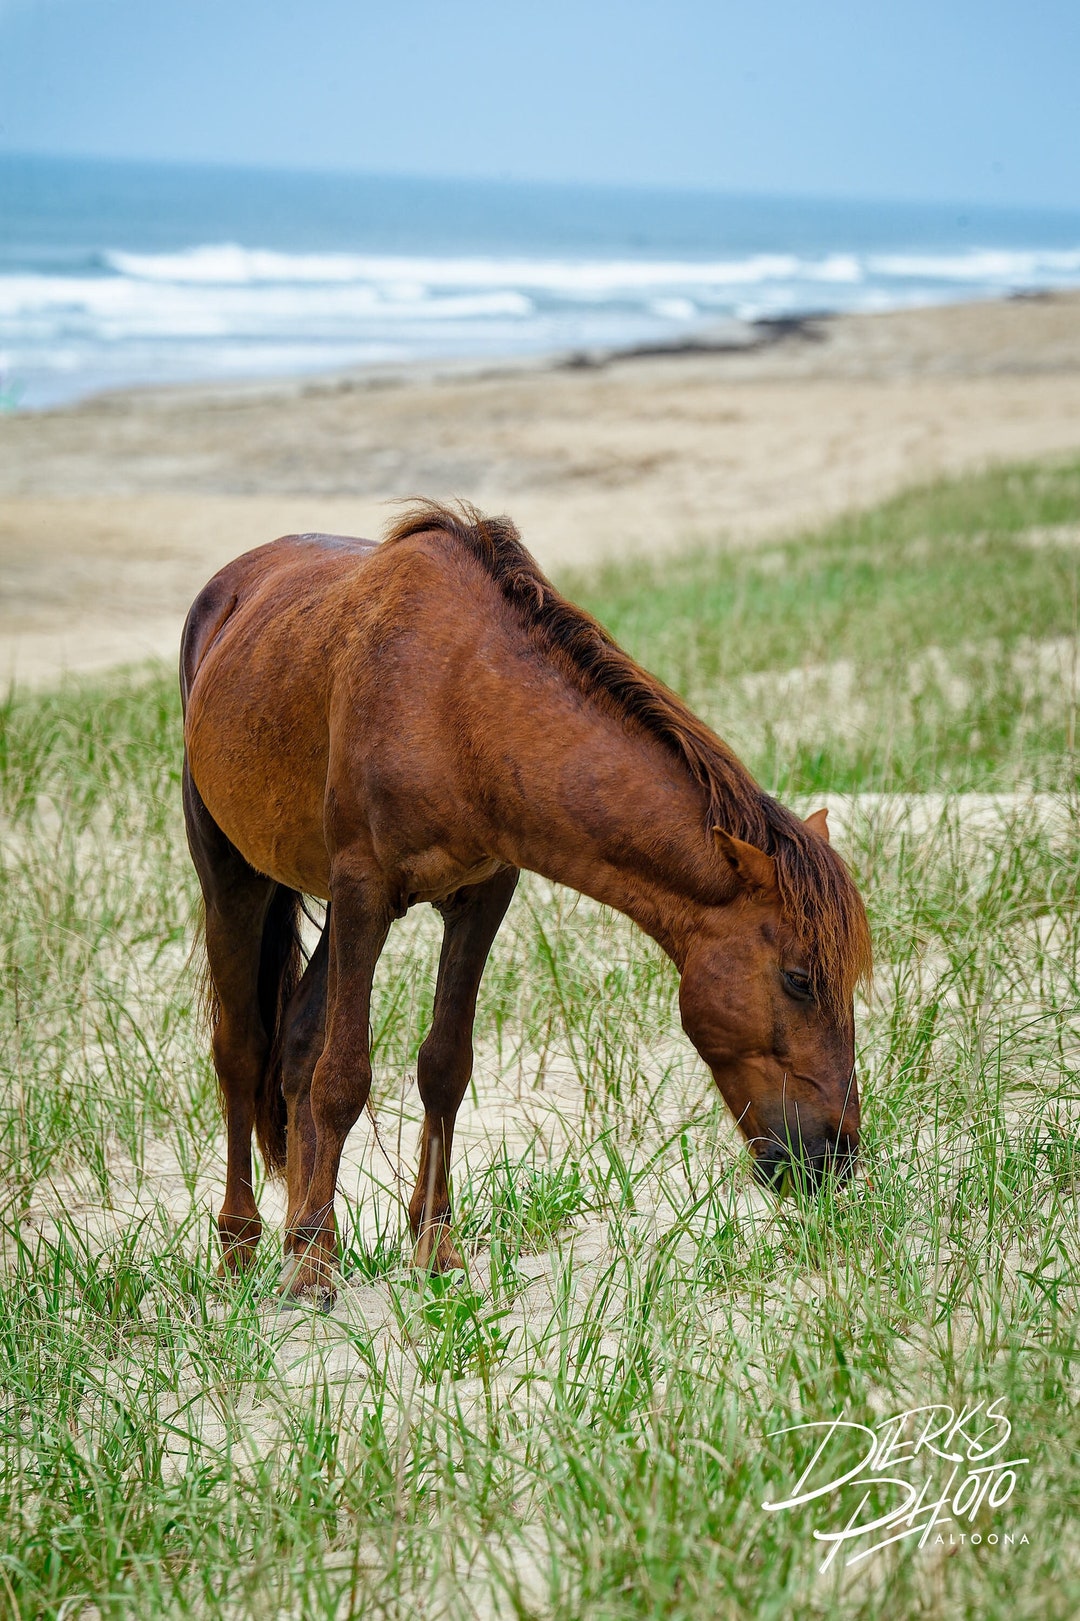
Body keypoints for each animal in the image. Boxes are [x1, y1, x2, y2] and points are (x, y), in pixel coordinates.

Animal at [181, 502, 872, 1302]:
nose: (837, 1155)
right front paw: (316, 1264)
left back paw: (296, 1230)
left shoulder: (482, 895)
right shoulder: (361, 890)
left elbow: (443, 1066)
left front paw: (432, 1246)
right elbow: (343, 1077)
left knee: (292, 1047)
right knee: (241, 1052)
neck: (458, 700)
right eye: (798, 979)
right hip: (234, 875)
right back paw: (244, 1245)